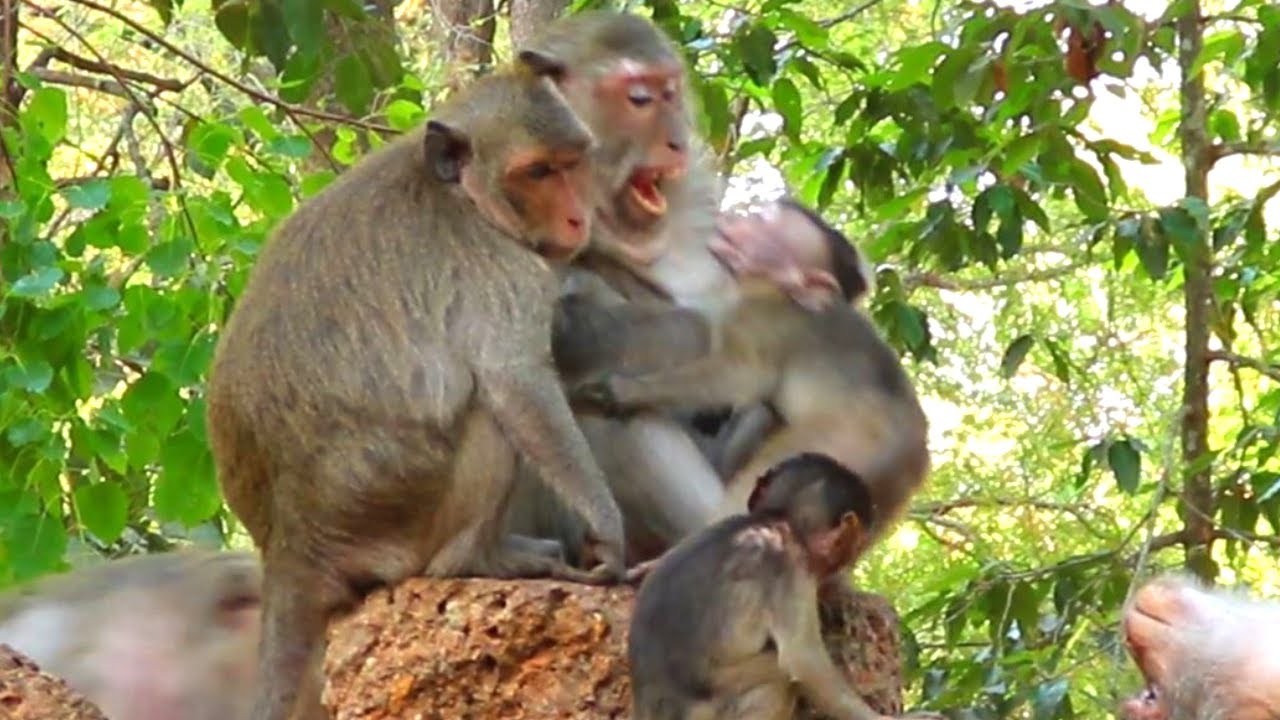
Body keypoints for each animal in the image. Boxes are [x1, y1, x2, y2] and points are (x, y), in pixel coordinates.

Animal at [205, 52, 627, 720]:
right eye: (536, 173)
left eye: (572, 164)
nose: (576, 217)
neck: (460, 194)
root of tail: (289, 545)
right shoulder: (501, 267)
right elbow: (518, 386)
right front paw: (608, 532)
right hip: (400, 522)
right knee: (487, 415)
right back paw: (477, 559)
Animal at [571, 197, 930, 581]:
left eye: (769, 227)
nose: (741, 222)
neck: (783, 288)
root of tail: (914, 452)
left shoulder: (759, 310)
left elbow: (737, 375)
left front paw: (623, 390)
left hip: (842, 441)